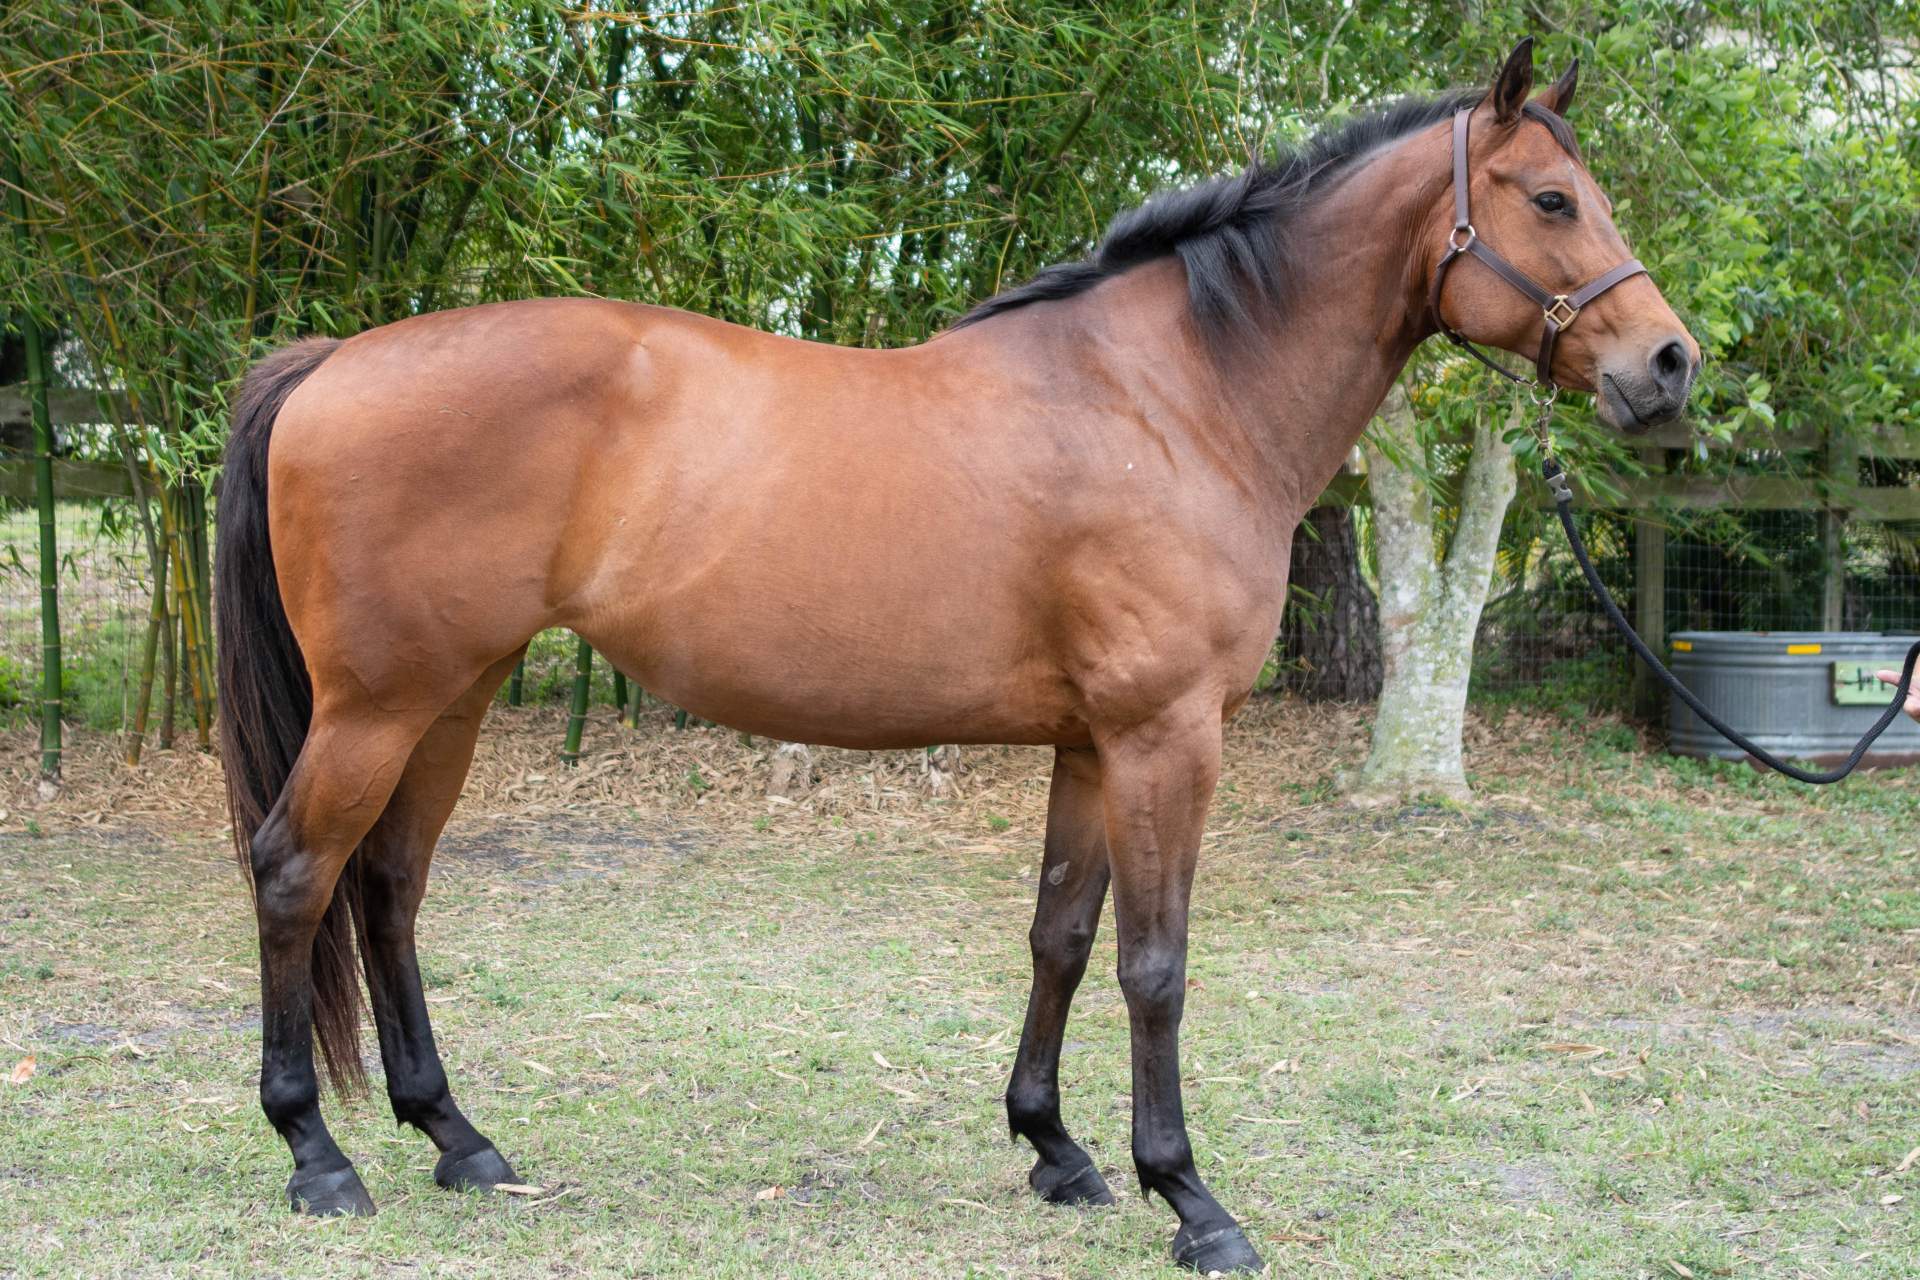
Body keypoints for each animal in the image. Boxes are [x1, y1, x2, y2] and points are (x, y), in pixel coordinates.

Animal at [216, 39, 1697, 1273]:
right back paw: (318, 1154)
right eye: (1549, 199)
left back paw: (454, 1136)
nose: (1669, 366)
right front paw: (1191, 1198)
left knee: (389, 886)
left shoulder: (1093, 744)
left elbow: (1061, 935)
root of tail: (334, 357)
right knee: (297, 872)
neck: (1174, 401)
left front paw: (1057, 1148)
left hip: (451, 698)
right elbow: (1155, 964)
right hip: (379, 705)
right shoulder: (1167, 738)